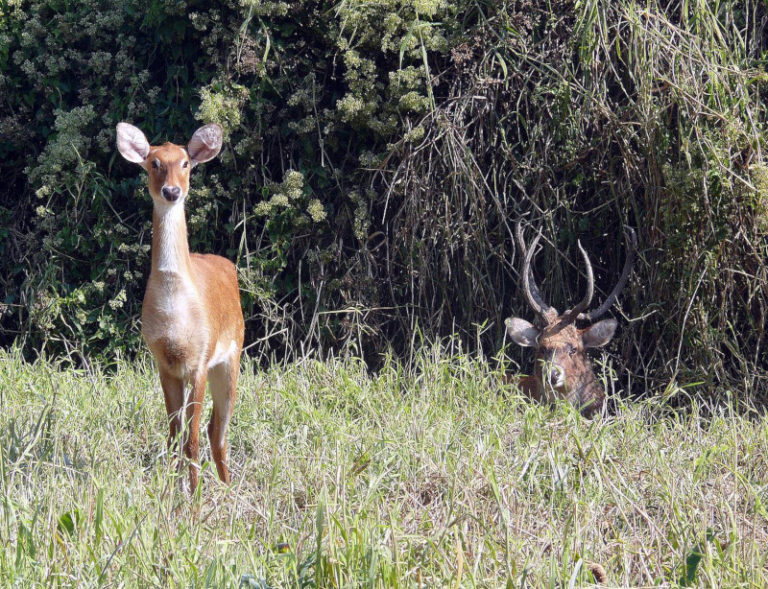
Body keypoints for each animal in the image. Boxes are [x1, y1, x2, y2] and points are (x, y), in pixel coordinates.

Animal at [116, 122, 244, 492]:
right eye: (154, 162)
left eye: (186, 162)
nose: (172, 191)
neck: (174, 312)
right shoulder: (164, 362)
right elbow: (174, 434)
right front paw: (170, 492)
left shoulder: (200, 360)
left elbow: (192, 439)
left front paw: (194, 499)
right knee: (212, 429)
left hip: (232, 356)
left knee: (218, 430)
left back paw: (227, 490)